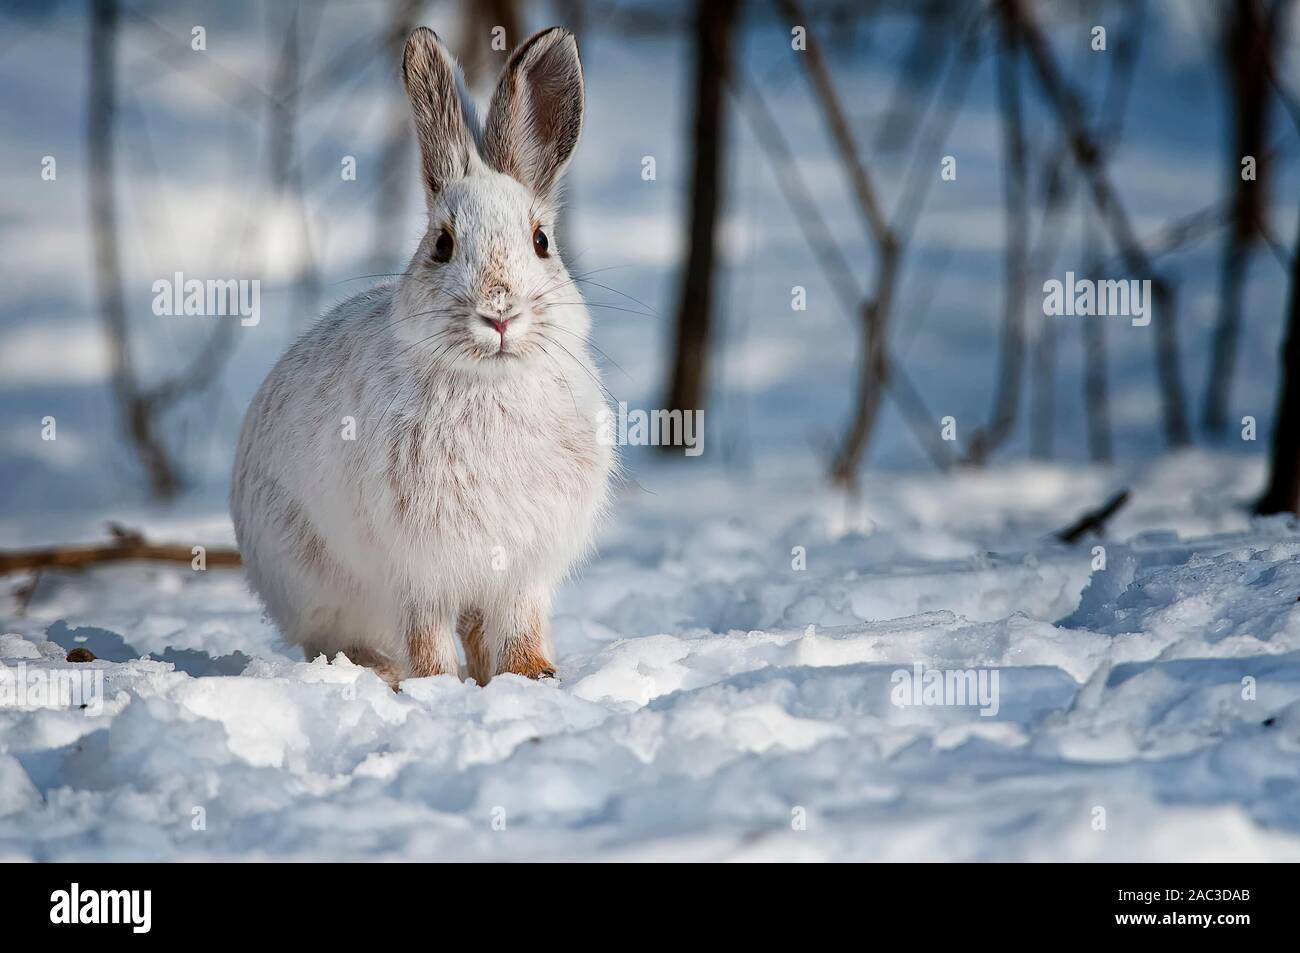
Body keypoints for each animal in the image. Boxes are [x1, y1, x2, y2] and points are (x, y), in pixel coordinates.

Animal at [230, 26, 614, 689]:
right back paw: (383, 672)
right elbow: (427, 635)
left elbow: (517, 626)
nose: (499, 311)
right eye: (442, 245)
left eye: (541, 241)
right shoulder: (417, 572)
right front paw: (436, 685)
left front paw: (532, 676)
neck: (489, 380)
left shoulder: (521, 570)